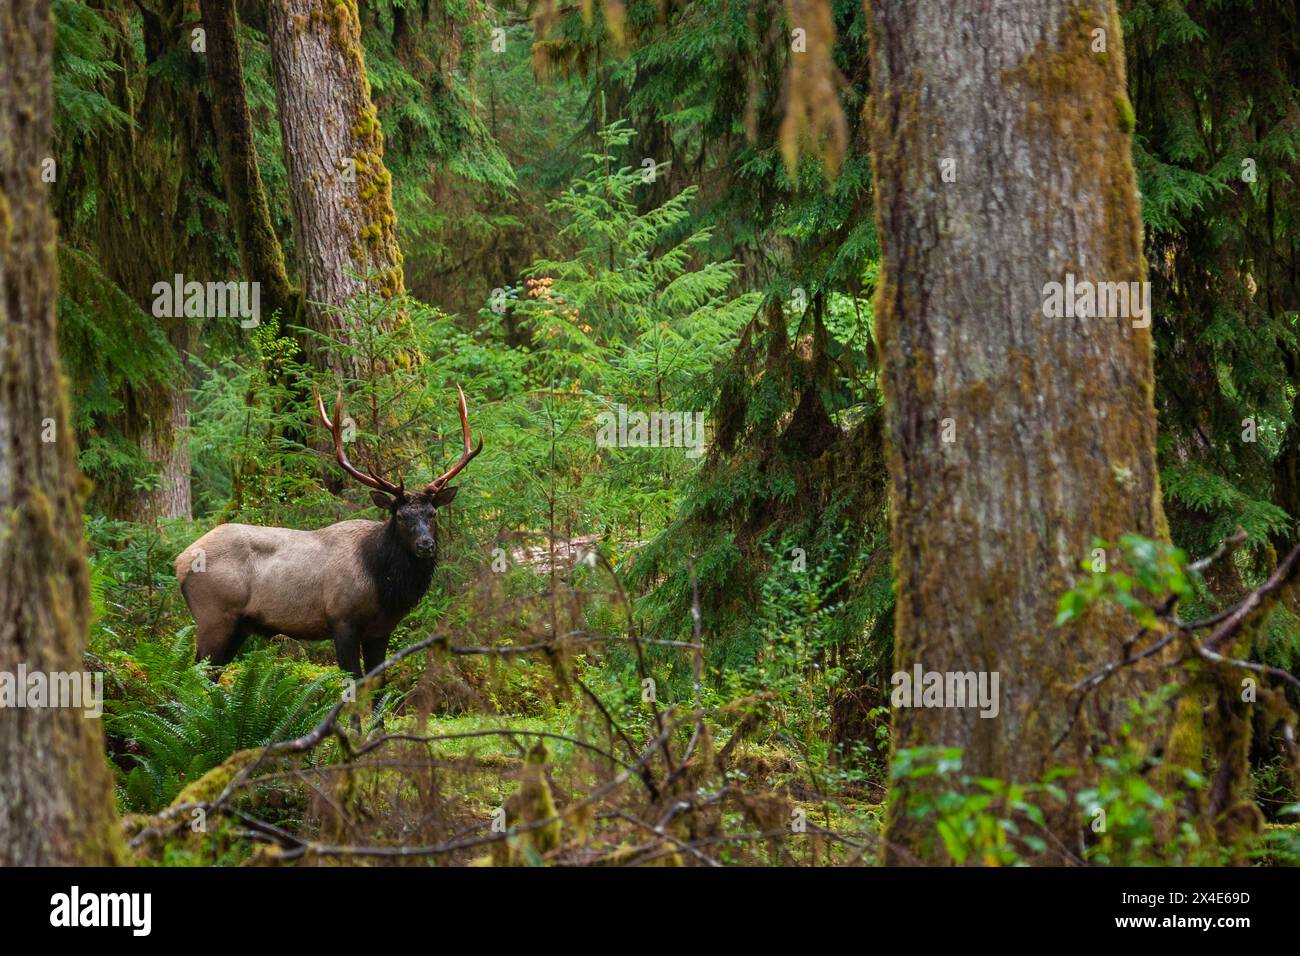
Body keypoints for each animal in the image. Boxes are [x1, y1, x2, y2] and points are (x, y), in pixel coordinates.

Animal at [175, 386, 482, 681]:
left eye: (432, 514)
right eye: (400, 516)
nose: (425, 545)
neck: (382, 583)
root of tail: (180, 561)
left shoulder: (381, 629)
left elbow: (377, 684)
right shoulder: (342, 620)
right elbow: (353, 681)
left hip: (238, 627)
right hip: (214, 617)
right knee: (194, 676)